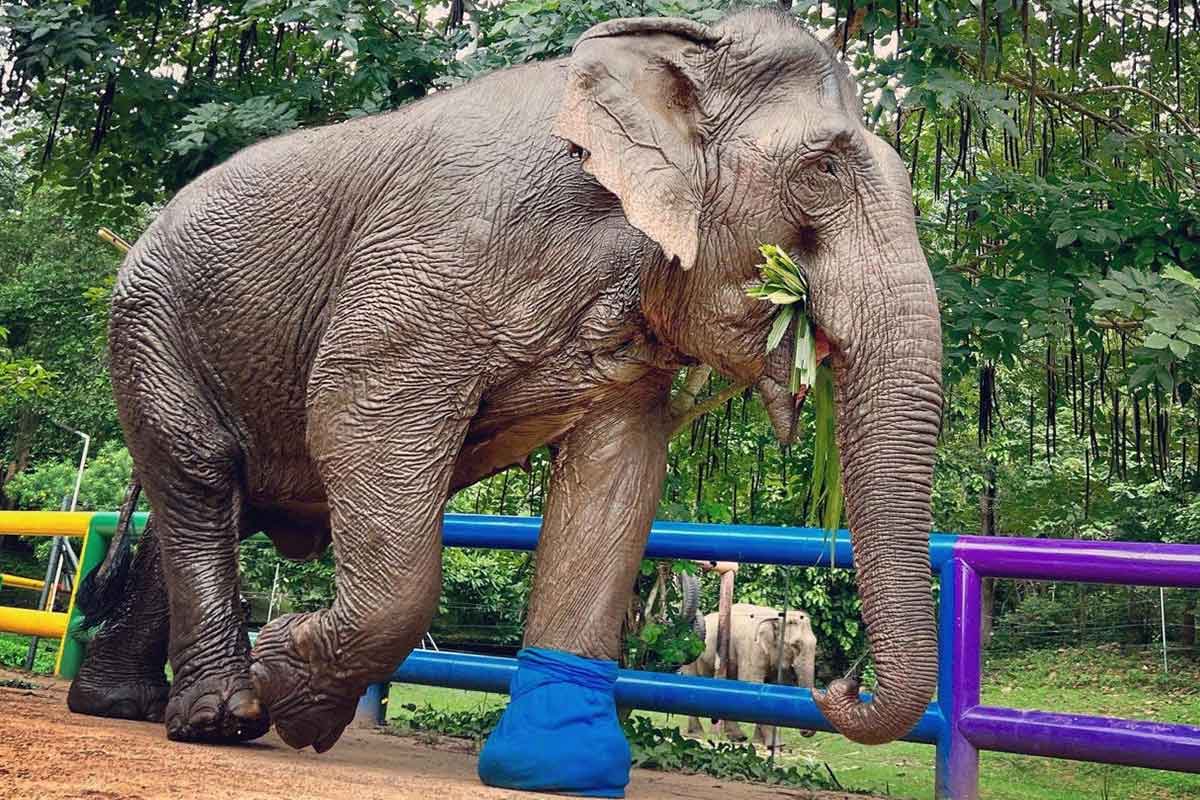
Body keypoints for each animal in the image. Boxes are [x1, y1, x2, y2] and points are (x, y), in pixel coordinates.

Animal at [680, 604, 818, 746]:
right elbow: (753, 682)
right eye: (795, 645)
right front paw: (776, 744)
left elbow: (771, 686)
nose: (804, 732)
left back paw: (738, 737)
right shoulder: (752, 646)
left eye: (816, 643)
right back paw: (697, 734)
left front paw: (759, 742)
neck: (776, 616)